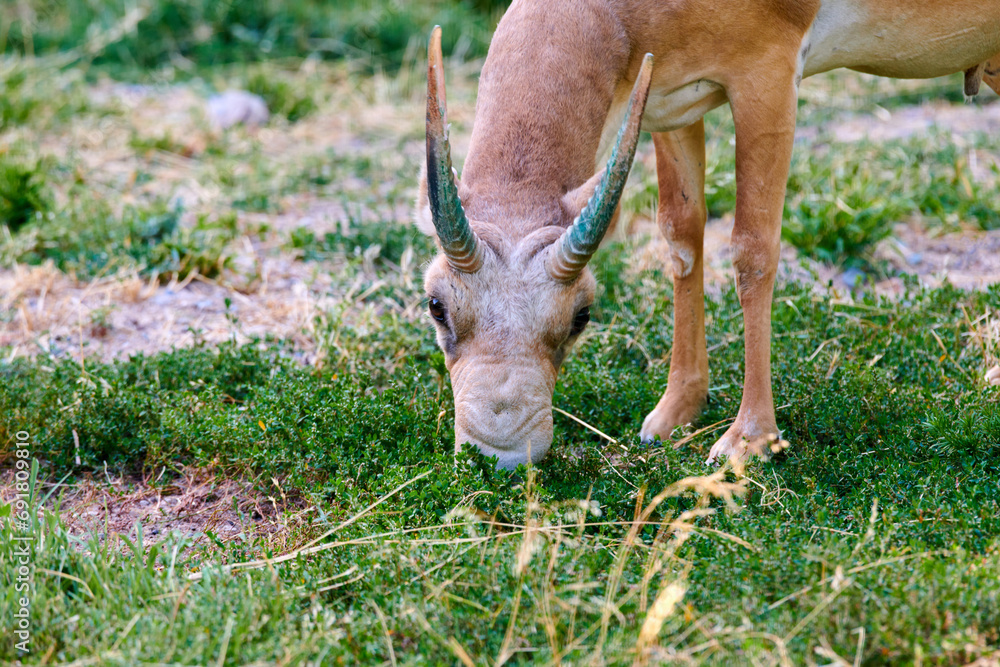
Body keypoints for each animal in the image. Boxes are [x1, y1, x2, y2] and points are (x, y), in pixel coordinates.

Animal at [415, 1, 1000, 469]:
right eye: (436, 305)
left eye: (582, 314)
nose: (500, 455)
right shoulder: (668, 102)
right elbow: (681, 237)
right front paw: (674, 412)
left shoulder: (768, 76)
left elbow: (752, 248)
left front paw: (749, 440)